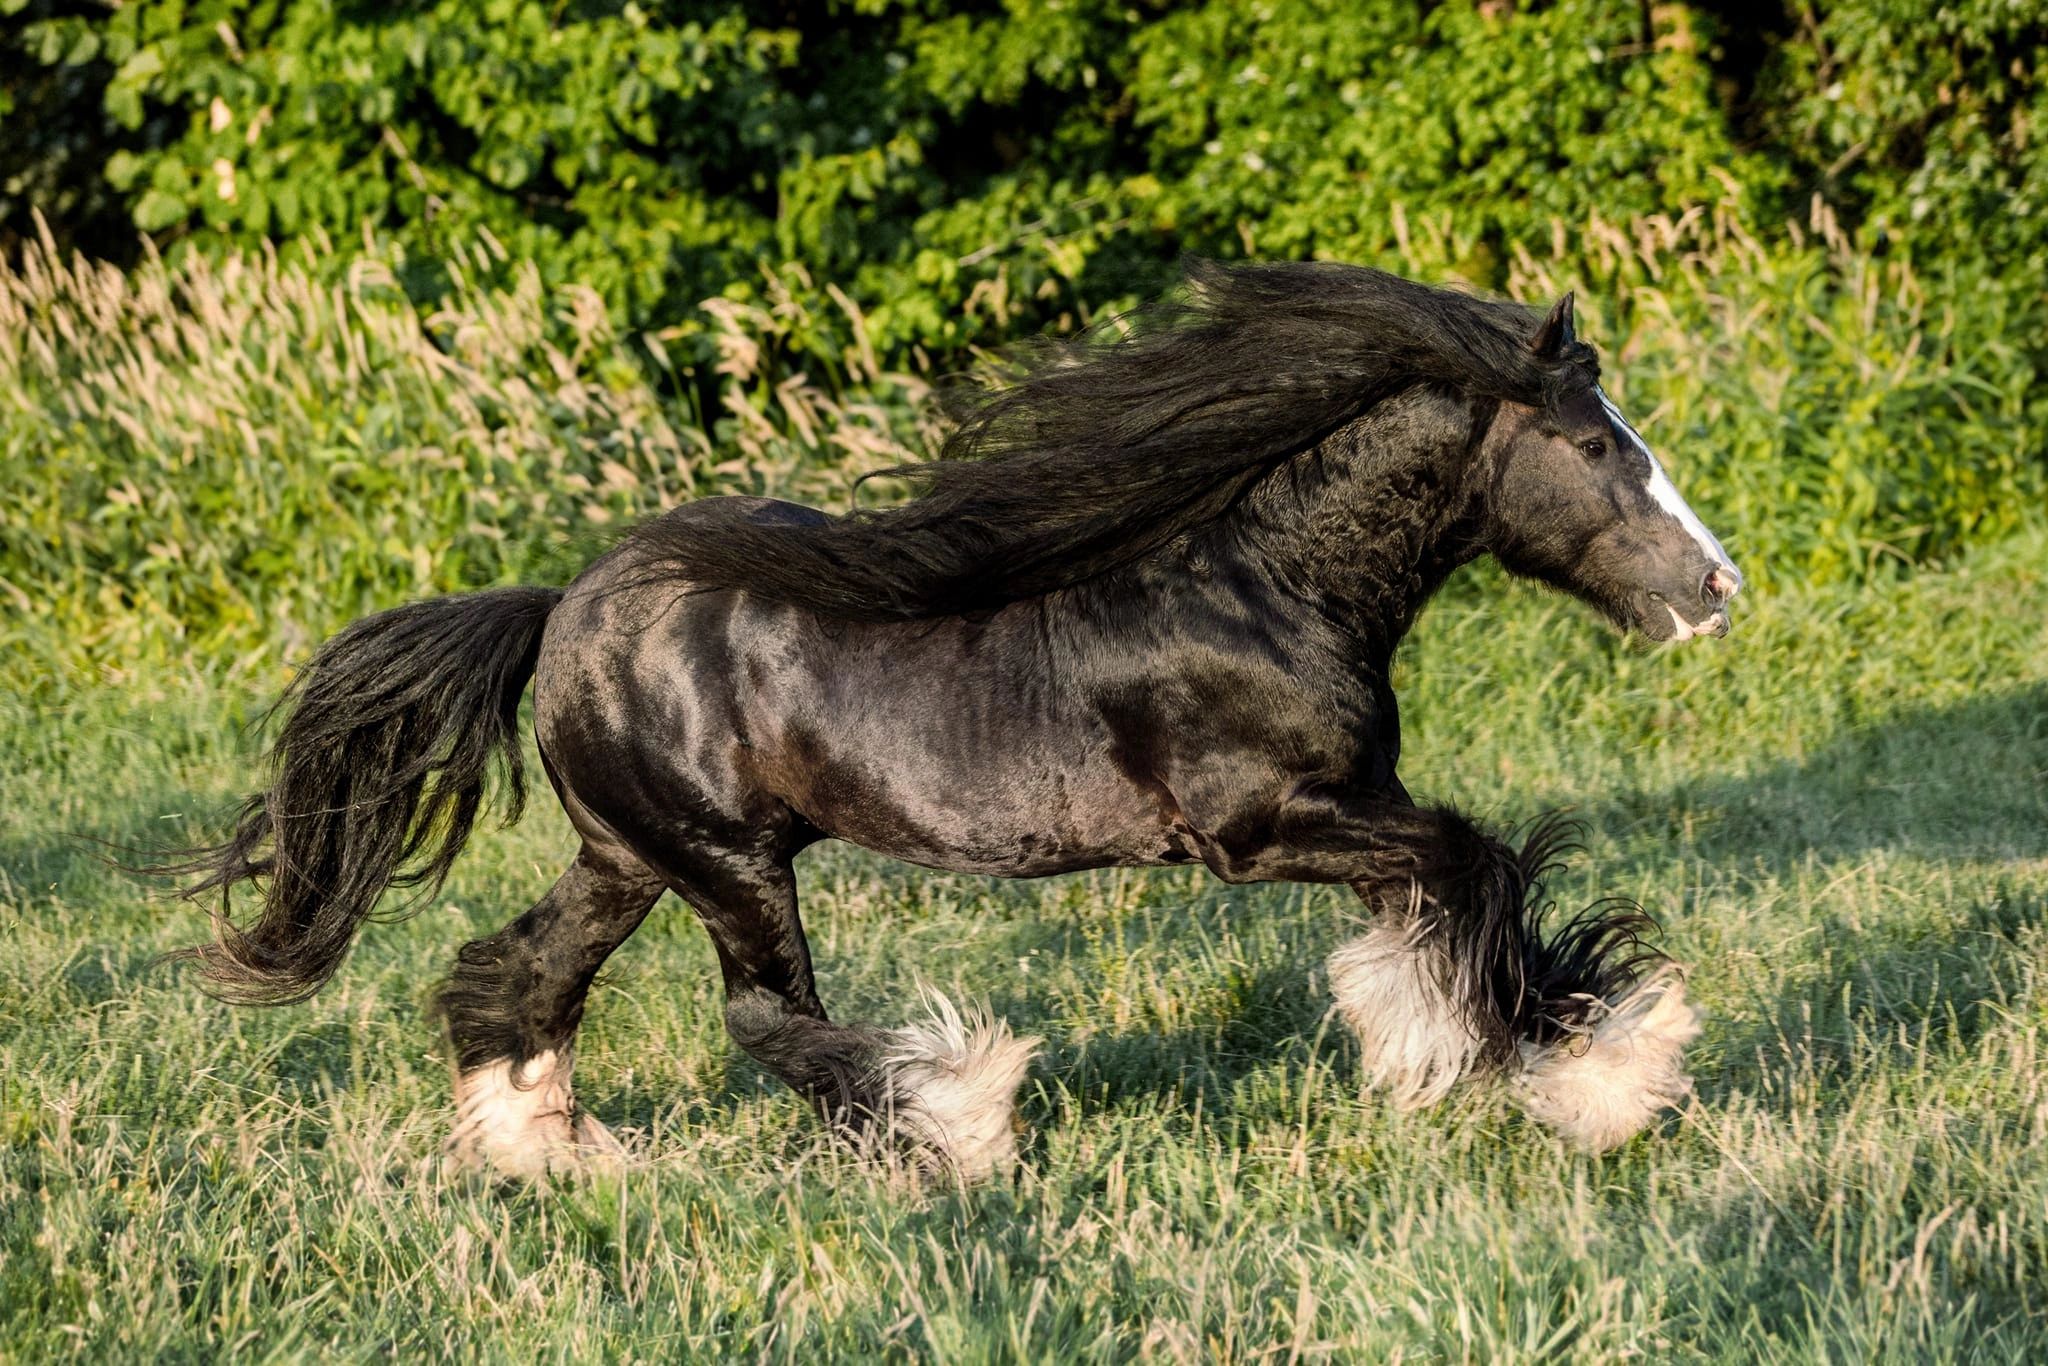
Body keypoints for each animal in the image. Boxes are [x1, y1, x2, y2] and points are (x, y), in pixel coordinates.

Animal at [166, 260, 1741, 1180]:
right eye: (1594, 445)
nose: (1715, 589)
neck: (1262, 588)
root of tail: (559, 612)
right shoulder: (1259, 827)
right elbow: (1474, 868)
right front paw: (1582, 1074)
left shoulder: (1338, 815)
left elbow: (1455, 893)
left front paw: (1525, 1060)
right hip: (725, 860)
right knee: (761, 1012)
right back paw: (961, 1115)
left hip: (629, 857)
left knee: (512, 976)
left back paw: (547, 1156)